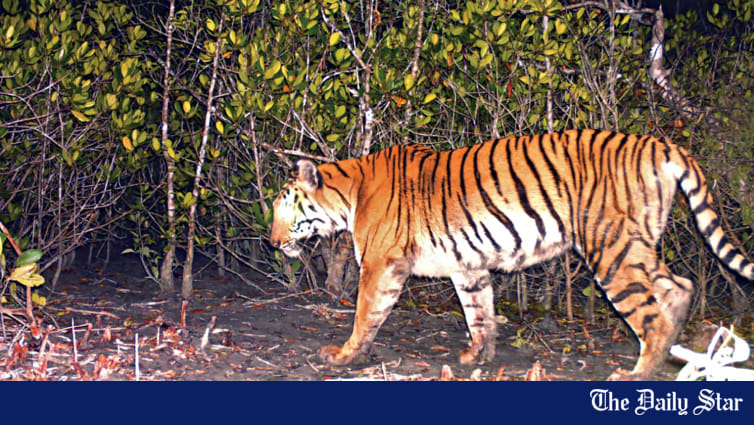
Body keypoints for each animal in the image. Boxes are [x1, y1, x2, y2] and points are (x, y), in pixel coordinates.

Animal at [269, 129, 754, 380]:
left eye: (283, 207)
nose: (272, 242)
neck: (350, 193)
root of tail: (662, 144)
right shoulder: (468, 264)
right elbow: (479, 311)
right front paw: (477, 357)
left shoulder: (380, 264)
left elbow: (365, 314)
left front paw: (344, 355)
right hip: (637, 244)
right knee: (679, 286)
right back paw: (675, 354)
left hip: (610, 247)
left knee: (651, 311)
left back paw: (638, 372)